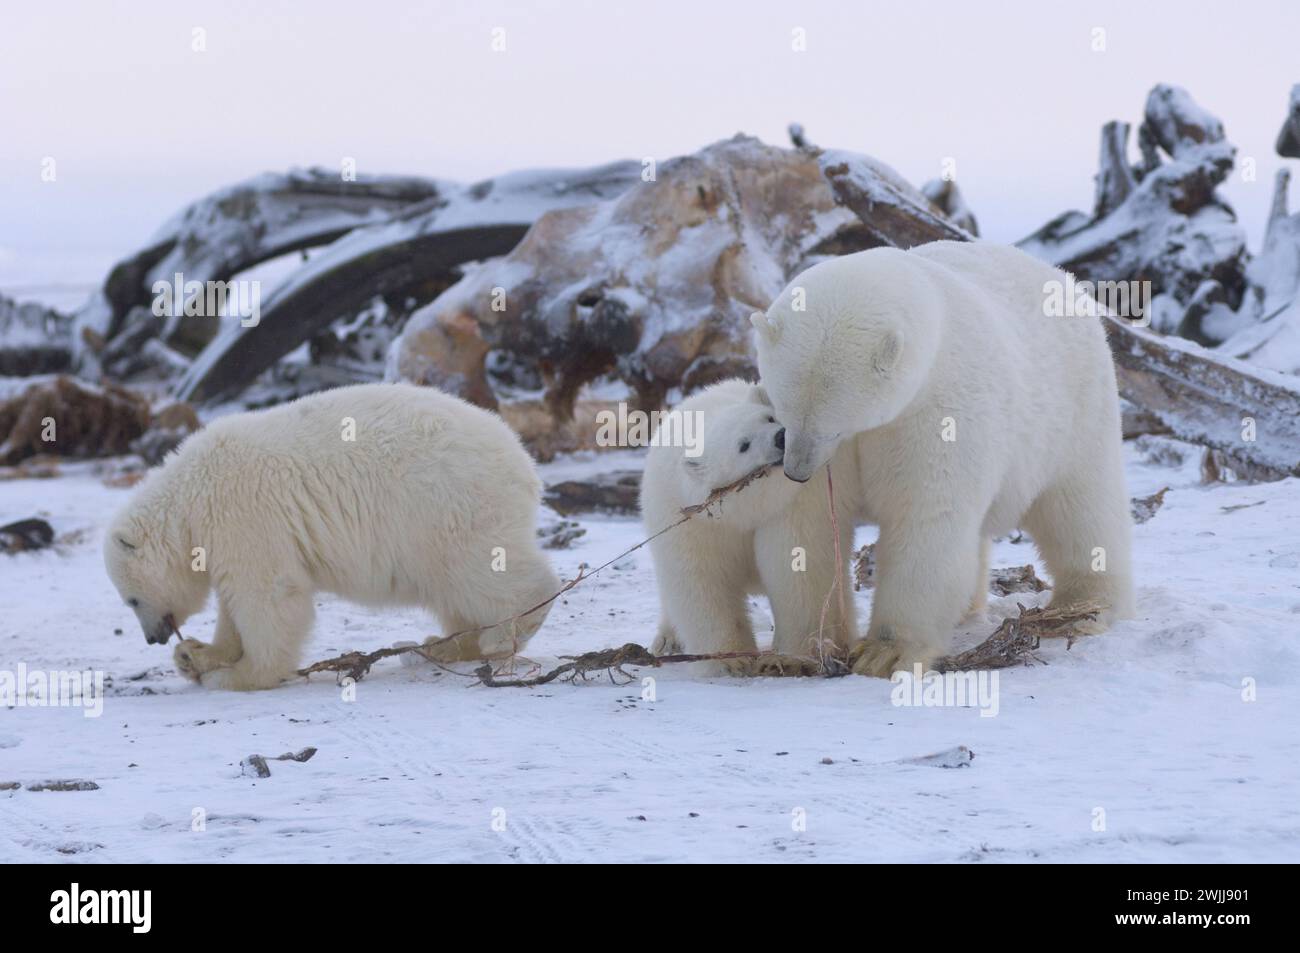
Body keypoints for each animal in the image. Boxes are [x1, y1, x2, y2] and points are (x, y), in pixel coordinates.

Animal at [104, 382, 560, 690]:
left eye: (132, 599)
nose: (153, 637)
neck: (191, 493)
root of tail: (523, 463)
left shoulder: (242, 514)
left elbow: (269, 593)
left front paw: (239, 675)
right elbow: (234, 603)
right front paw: (196, 655)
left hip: (443, 506)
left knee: (478, 571)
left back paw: (501, 633)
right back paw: (443, 645)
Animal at [639, 378, 860, 675]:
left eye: (769, 418)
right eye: (743, 445)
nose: (781, 437)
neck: (742, 512)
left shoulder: (794, 502)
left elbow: (798, 566)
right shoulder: (690, 523)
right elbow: (702, 582)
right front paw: (731, 661)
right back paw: (666, 640)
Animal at [752, 241, 1135, 676]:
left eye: (832, 425)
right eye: (783, 413)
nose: (797, 471)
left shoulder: (938, 412)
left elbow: (928, 517)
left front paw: (885, 653)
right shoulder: (840, 454)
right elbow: (806, 525)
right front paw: (795, 653)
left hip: (1076, 410)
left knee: (1081, 508)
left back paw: (1083, 607)